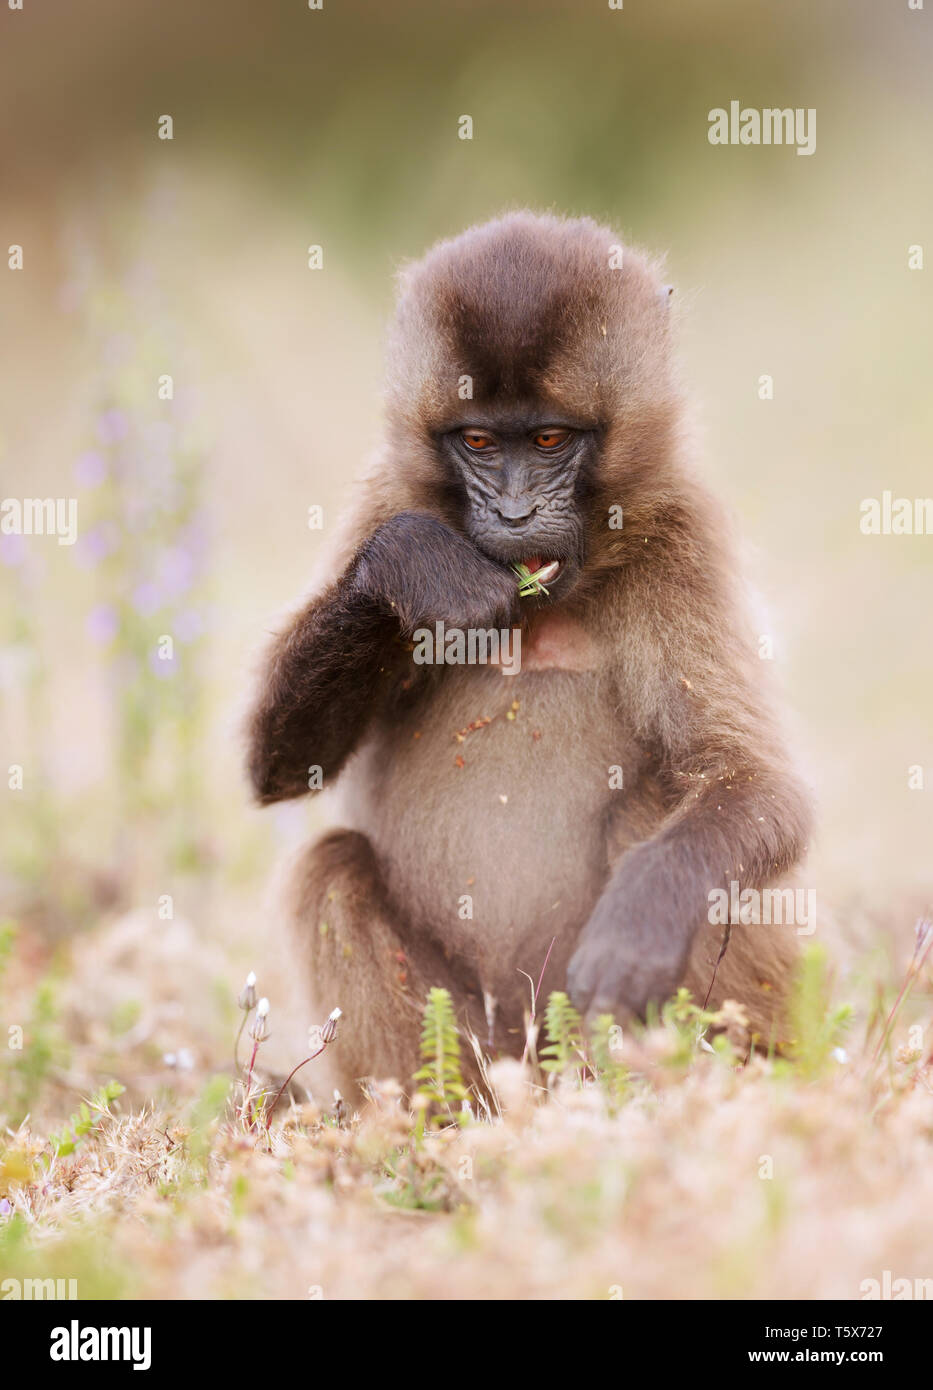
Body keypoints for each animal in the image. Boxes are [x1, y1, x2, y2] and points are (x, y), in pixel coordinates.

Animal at [247, 211, 813, 1099]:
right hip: (479, 1039)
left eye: (549, 438)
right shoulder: (386, 496)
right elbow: (281, 767)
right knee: (331, 867)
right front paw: (415, 566)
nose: (513, 516)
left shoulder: (679, 533)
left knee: (650, 809)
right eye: (478, 440)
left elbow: (751, 779)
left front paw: (640, 921)